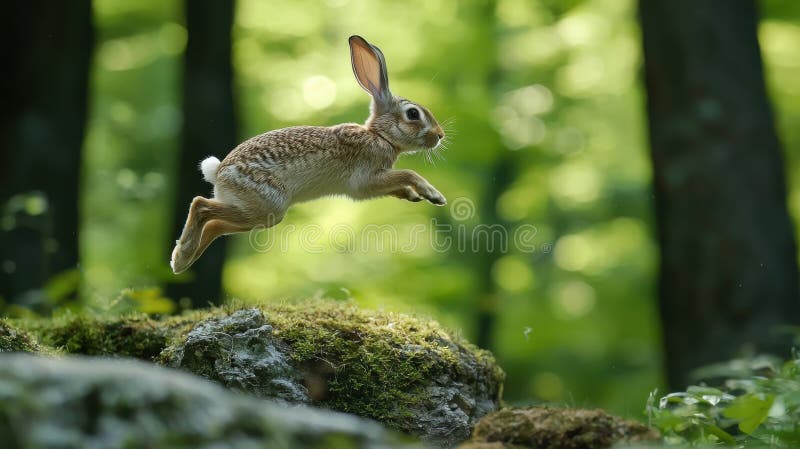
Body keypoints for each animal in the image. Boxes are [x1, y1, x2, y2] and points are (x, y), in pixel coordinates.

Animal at [170, 35, 447, 274]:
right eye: (413, 114)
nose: (440, 135)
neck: (380, 136)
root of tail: (218, 172)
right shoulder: (366, 180)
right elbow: (407, 173)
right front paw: (433, 194)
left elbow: (398, 184)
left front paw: (413, 196)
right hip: (268, 204)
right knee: (201, 205)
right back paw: (182, 255)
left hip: (258, 214)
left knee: (215, 224)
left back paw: (182, 259)